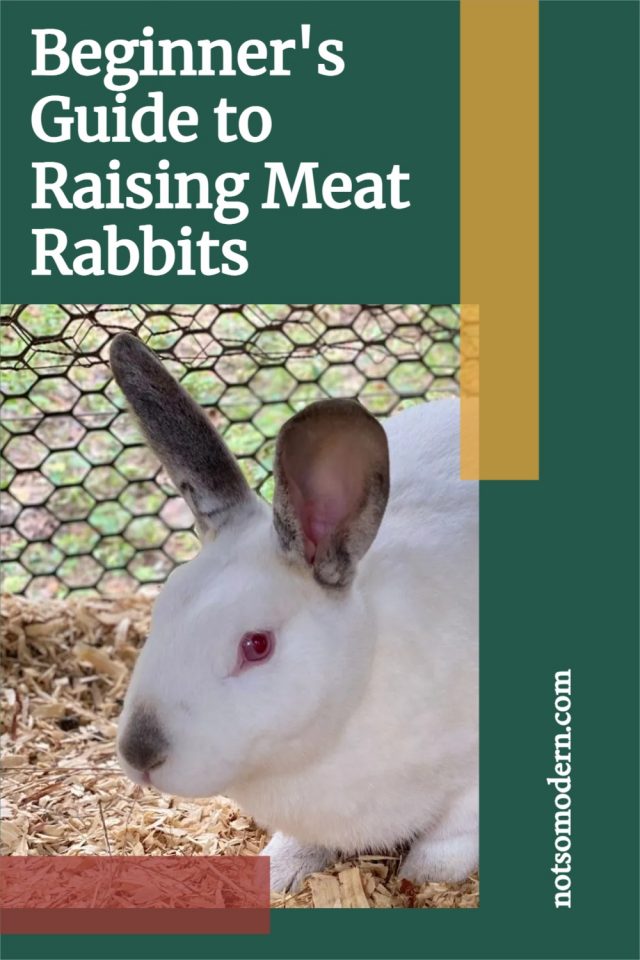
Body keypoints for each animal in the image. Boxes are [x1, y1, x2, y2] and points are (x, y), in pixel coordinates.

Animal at [111, 332, 478, 893]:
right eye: (162, 610)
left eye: (257, 645)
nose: (140, 754)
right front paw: (278, 870)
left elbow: (453, 834)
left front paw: (425, 878)